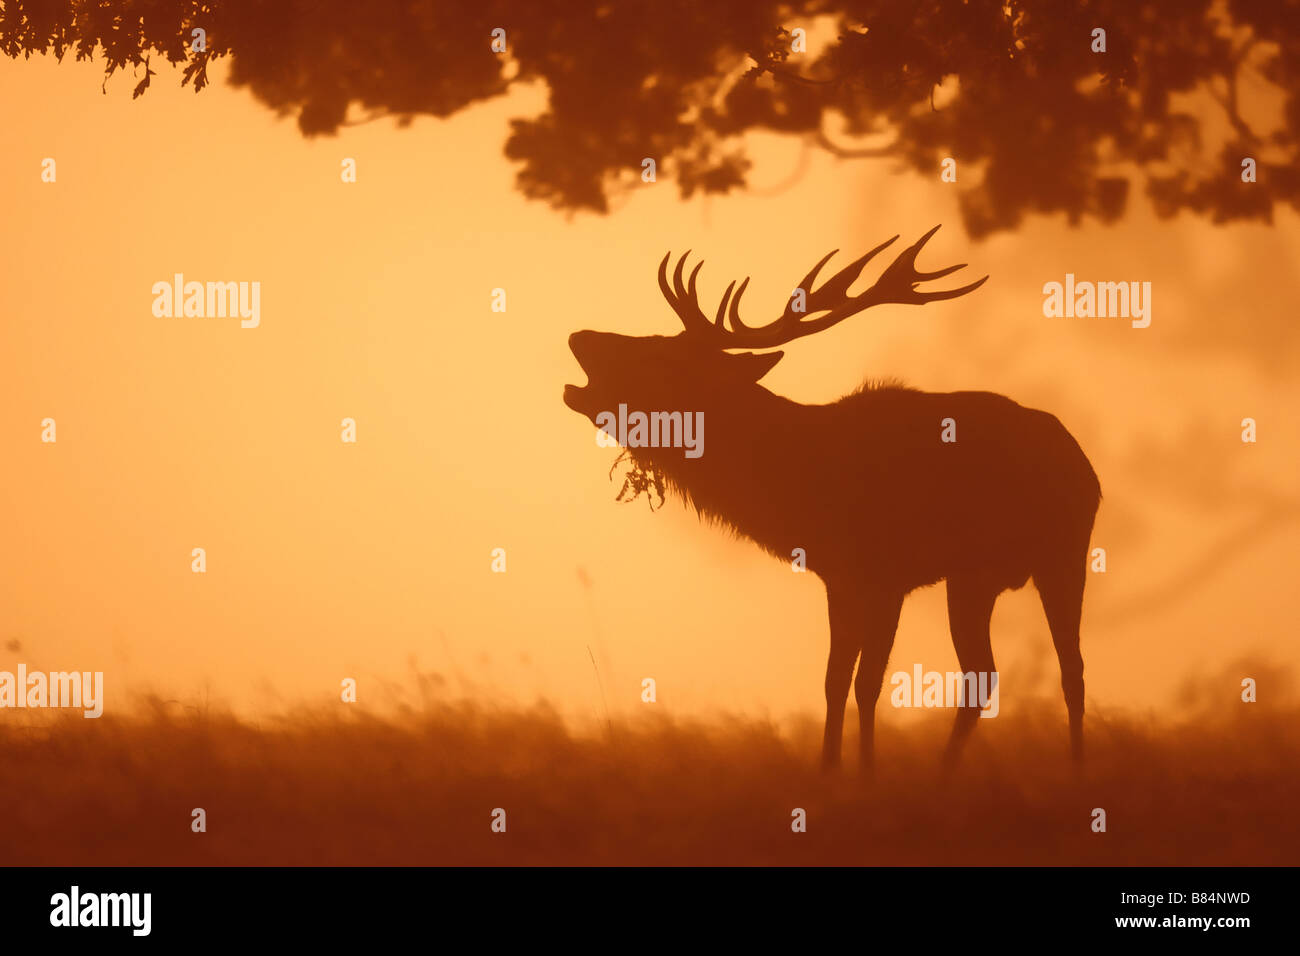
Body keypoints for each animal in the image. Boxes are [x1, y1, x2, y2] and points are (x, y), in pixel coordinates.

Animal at [563, 225, 1101, 773]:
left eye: (660, 355)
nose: (579, 336)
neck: (805, 485)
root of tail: (1085, 467)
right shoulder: (838, 578)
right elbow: (834, 680)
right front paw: (829, 768)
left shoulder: (888, 576)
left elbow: (867, 683)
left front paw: (865, 773)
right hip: (975, 578)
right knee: (986, 673)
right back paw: (947, 774)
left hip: (1063, 555)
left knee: (1069, 670)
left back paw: (1075, 771)